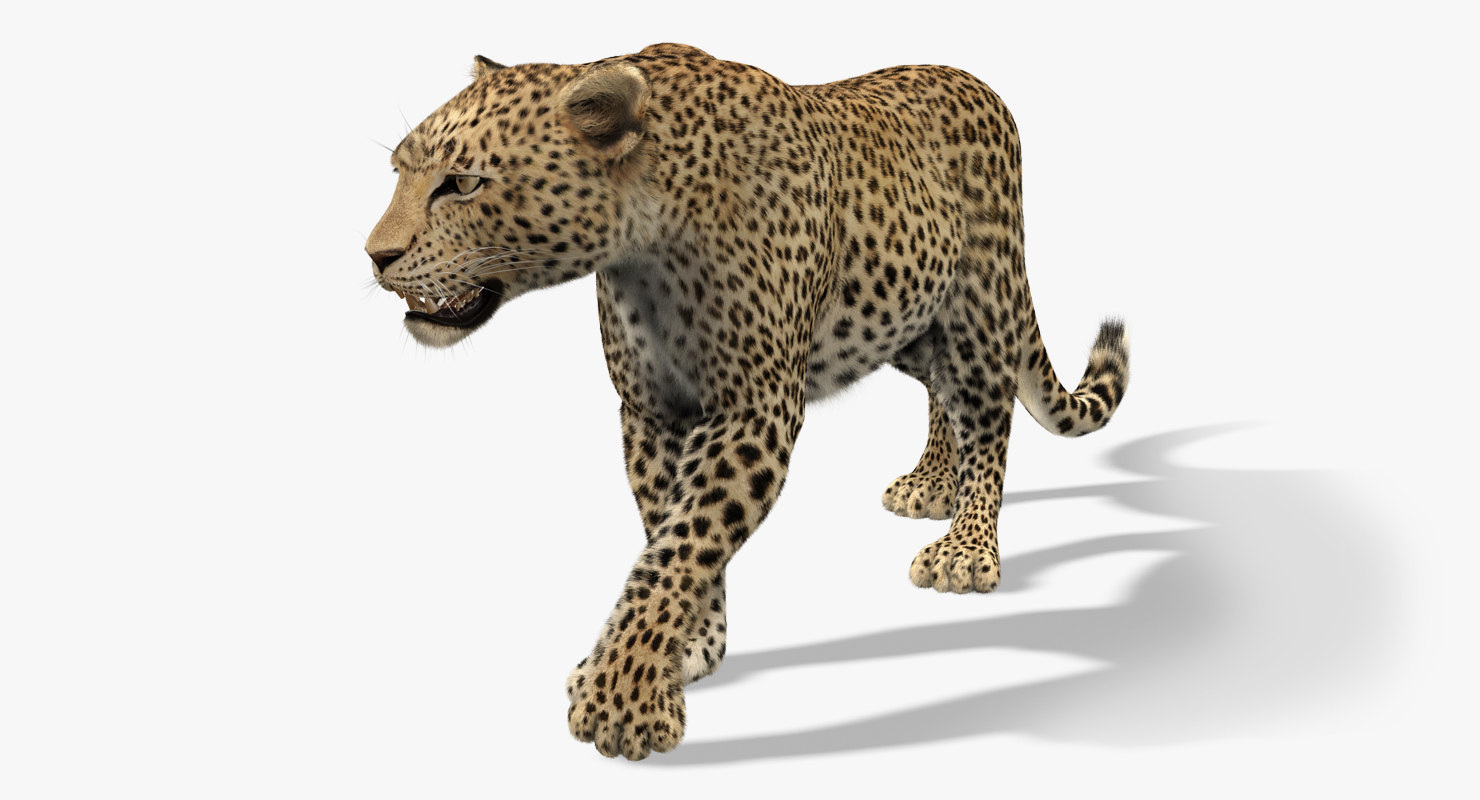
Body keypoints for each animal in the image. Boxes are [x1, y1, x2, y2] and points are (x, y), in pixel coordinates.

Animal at [365, 43, 1129, 761]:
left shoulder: (753, 410)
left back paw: (968, 545)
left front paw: (620, 699)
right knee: (941, 386)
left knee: (989, 410)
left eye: (463, 184)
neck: (646, 240)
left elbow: (683, 543)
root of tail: (976, 81)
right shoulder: (650, 412)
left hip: (980, 304)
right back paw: (933, 483)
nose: (374, 256)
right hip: (902, 313)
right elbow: (665, 529)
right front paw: (686, 649)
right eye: (400, 172)